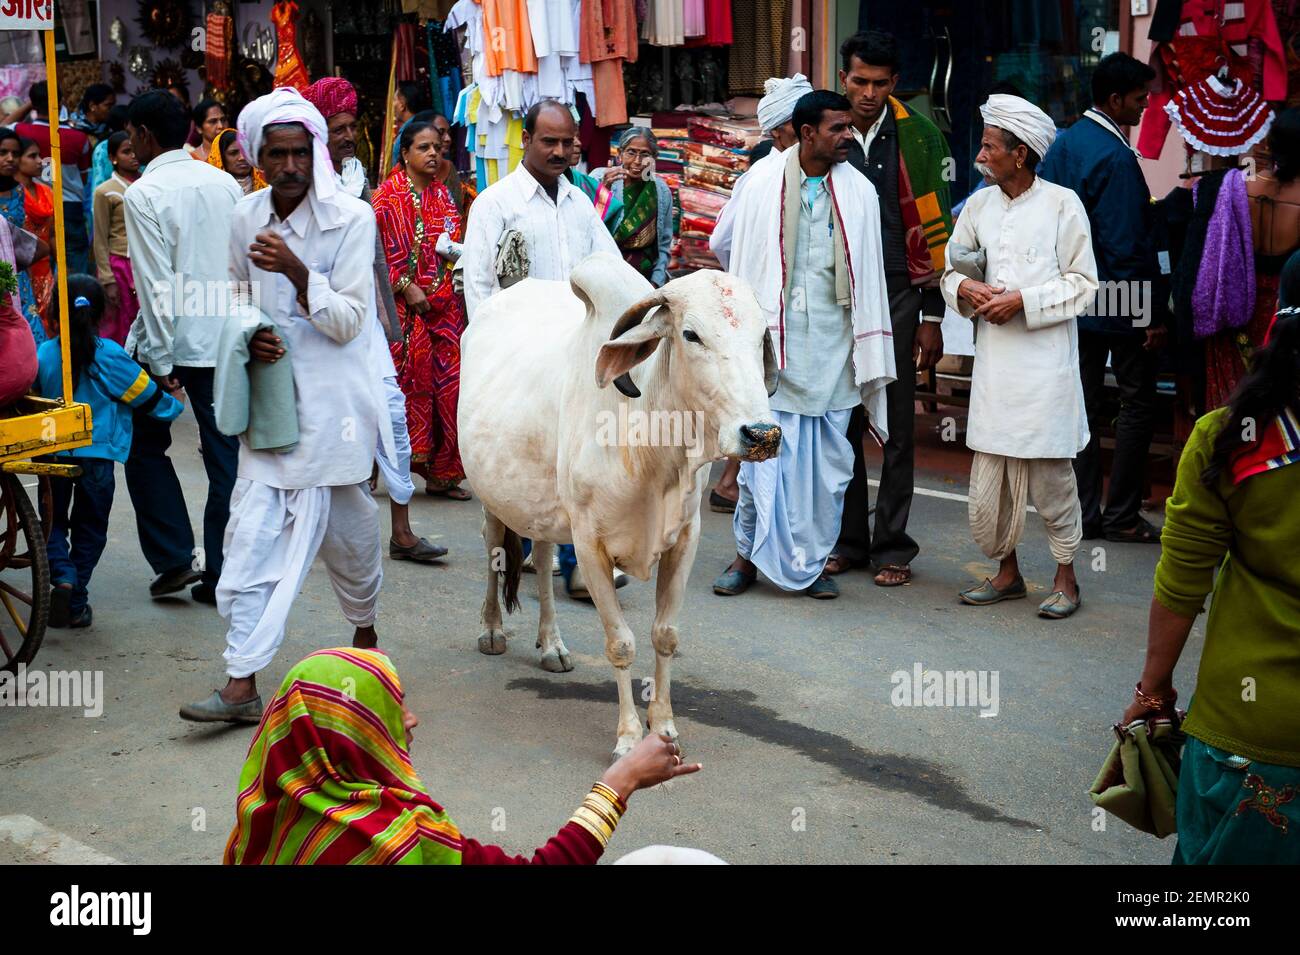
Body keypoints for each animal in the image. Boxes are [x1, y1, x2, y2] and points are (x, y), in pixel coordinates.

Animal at [458, 252, 781, 757]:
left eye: (758, 335)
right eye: (691, 334)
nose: (762, 434)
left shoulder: (683, 539)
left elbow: (664, 636)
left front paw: (663, 728)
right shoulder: (591, 545)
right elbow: (621, 644)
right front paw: (629, 738)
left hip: (546, 506)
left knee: (544, 558)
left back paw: (552, 644)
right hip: (493, 496)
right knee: (494, 549)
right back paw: (491, 629)